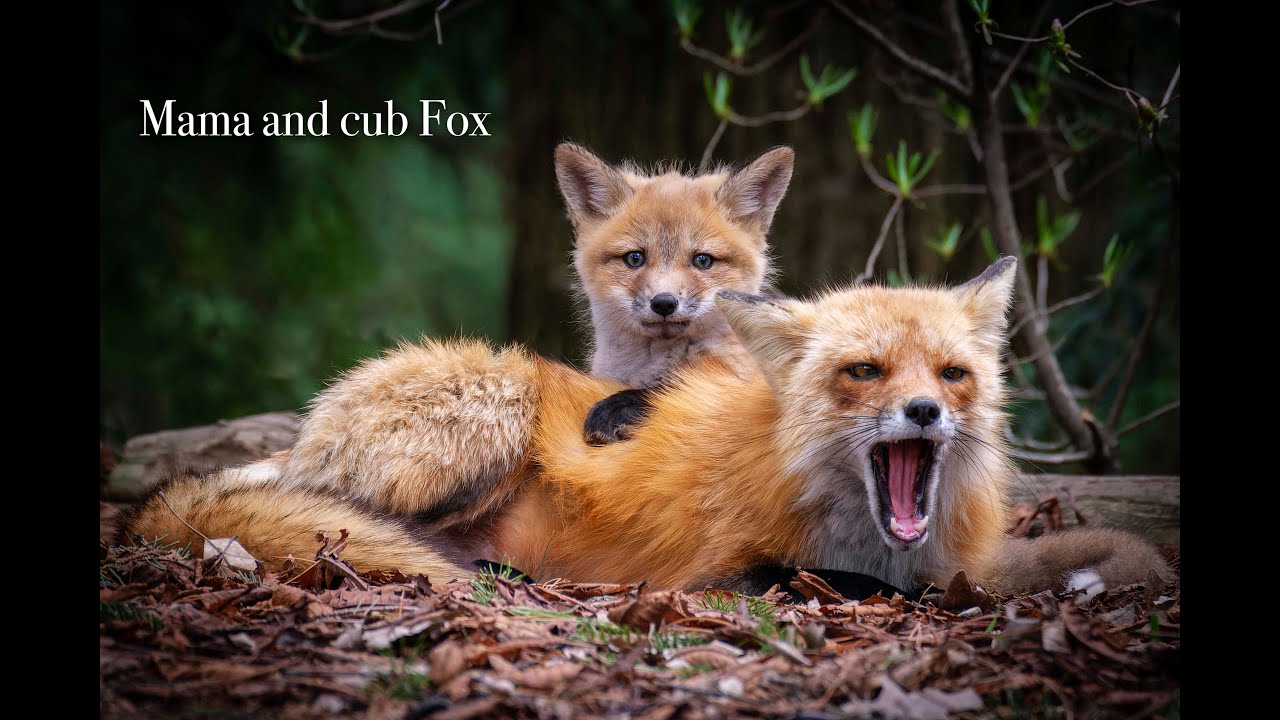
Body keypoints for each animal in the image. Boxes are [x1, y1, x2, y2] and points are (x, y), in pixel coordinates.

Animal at [120, 257, 1172, 598]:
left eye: (953, 375)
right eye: (864, 373)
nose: (924, 412)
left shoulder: (966, 559)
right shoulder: (719, 574)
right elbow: (854, 588)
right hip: (483, 419)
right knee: (334, 520)